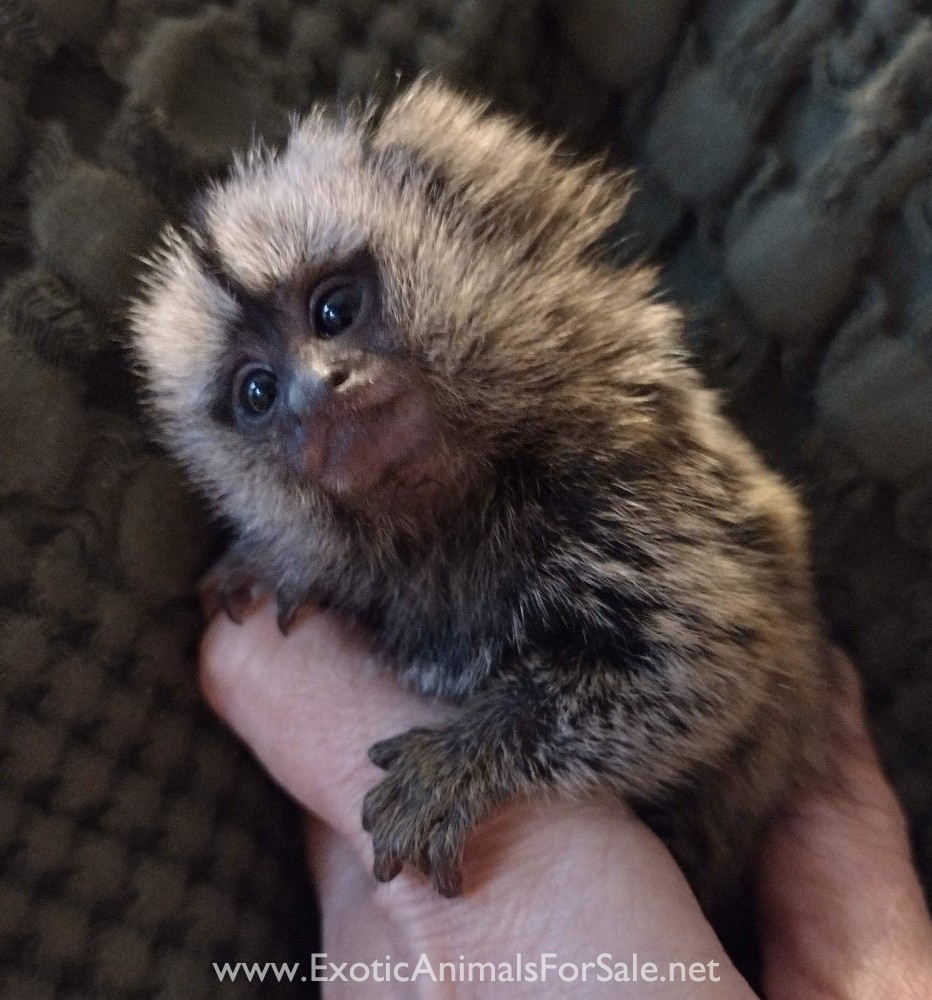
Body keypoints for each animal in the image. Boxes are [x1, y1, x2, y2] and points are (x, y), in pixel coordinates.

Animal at [129, 79, 834, 939]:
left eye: (334, 311)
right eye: (258, 392)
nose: (317, 391)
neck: (466, 506)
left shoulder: (631, 482)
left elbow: (703, 667)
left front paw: (467, 758)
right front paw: (272, 564)